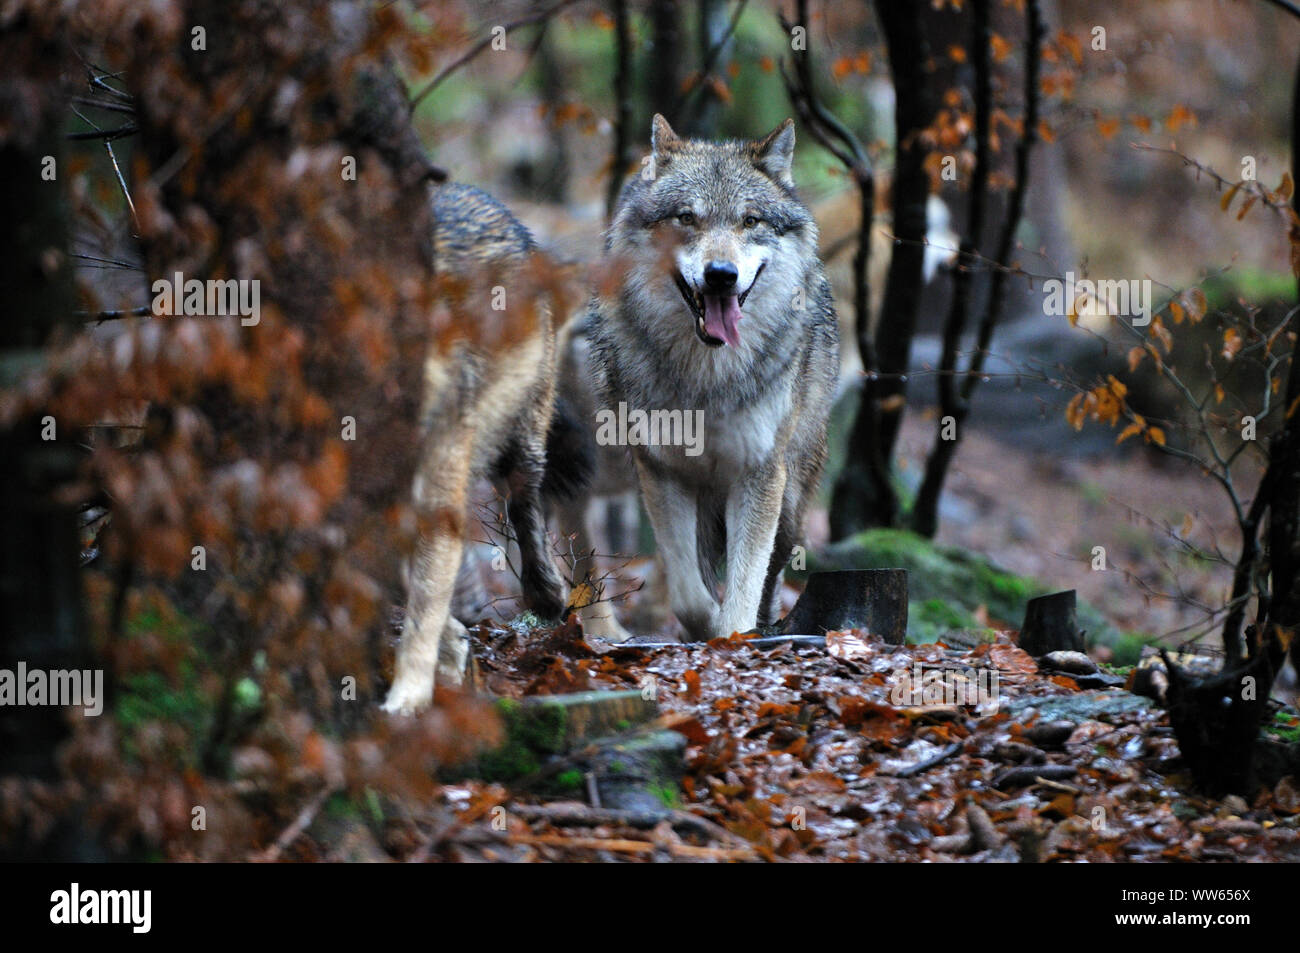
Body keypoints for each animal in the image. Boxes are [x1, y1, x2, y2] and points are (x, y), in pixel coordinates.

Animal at [382, 182, 582, 714]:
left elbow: (423, 603)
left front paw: (407, 698)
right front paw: (452, 651)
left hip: (522, 442)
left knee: (525, 507)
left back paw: (547, 593)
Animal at [588, 115, 839, 642]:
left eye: (750, 221)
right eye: (687, 218)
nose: (721, 274)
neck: (709, 381)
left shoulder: (759, 472)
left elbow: (747, 577)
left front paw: (733, 634)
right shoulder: (662, 471)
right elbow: (688, 591)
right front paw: (706, 625)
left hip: (791, 499)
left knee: (773, 573)